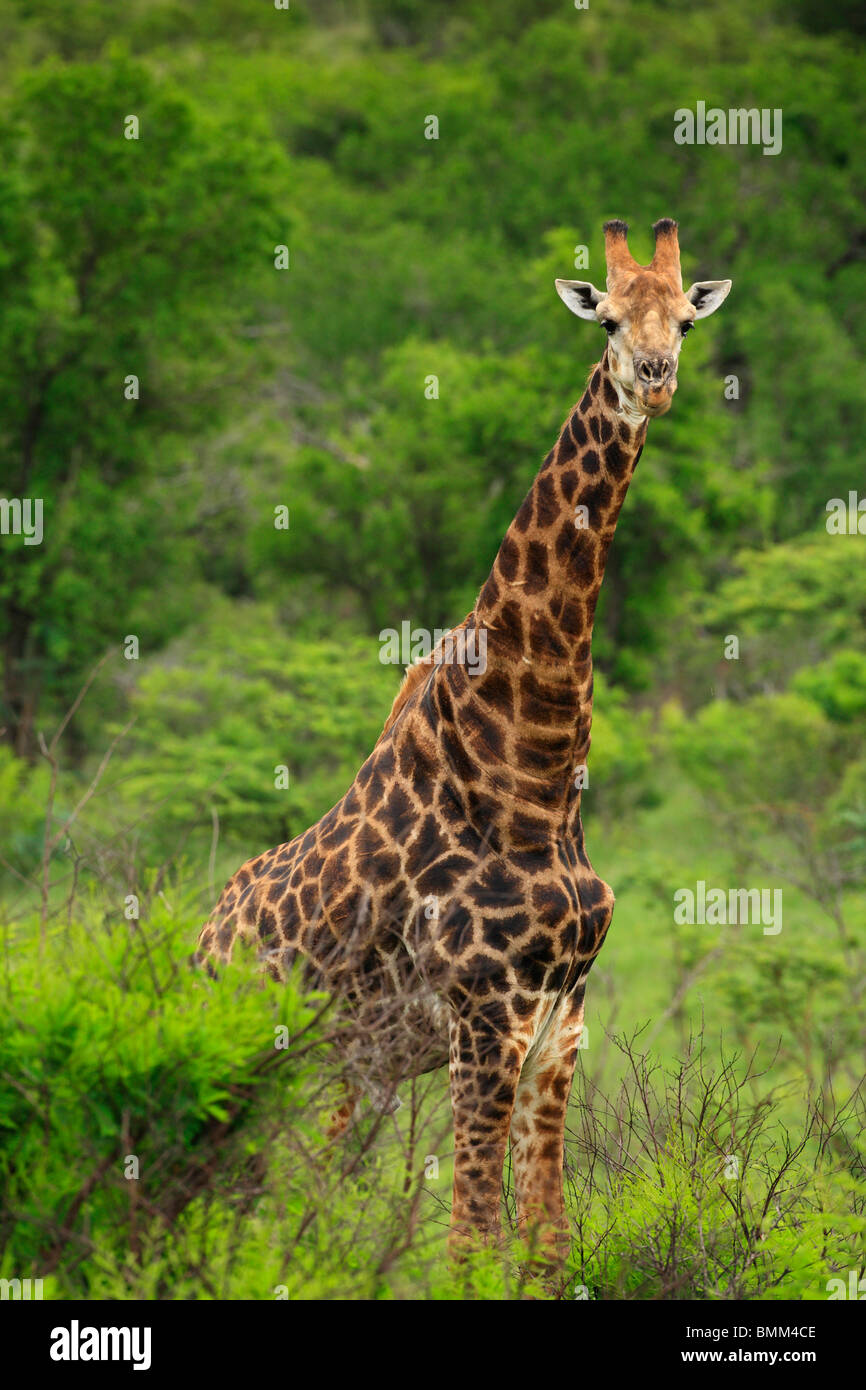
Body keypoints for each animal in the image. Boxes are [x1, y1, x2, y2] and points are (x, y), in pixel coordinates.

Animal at [195, 218, 731, 1263]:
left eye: (686, 318)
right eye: (607, 318)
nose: (653, 380)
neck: (536, 766)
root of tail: (198, 941)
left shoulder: (560, 1023)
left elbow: (545, 1244)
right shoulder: (485, 1016)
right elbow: (473, 1241)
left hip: (346, 1076)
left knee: (289, 1196)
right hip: (250, 1061)